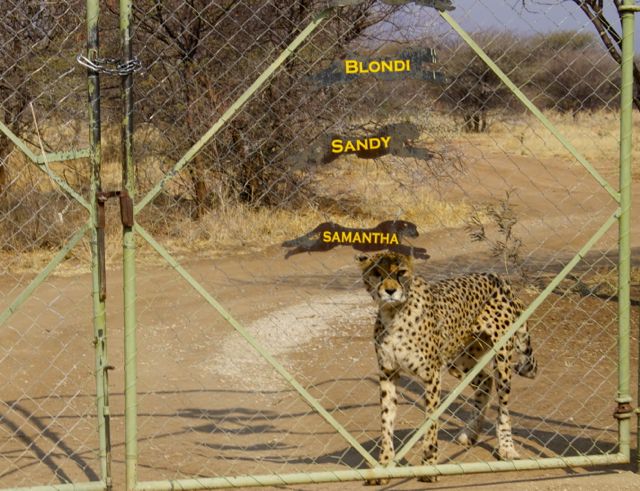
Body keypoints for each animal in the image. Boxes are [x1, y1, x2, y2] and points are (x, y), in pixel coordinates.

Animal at [356, 252, 537, 484]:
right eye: (377, 273)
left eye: (401, 272)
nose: (390, 291)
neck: (393, 314)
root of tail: (498, 277)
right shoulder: (388, 374)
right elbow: (386, 423)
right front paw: (384, 466)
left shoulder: (431, 375)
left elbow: (431, 422)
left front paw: (428, 465)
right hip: (459, 359)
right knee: (485, 382)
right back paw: (470, 433)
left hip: (502, 358)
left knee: (503, 406)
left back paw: (507, 448)